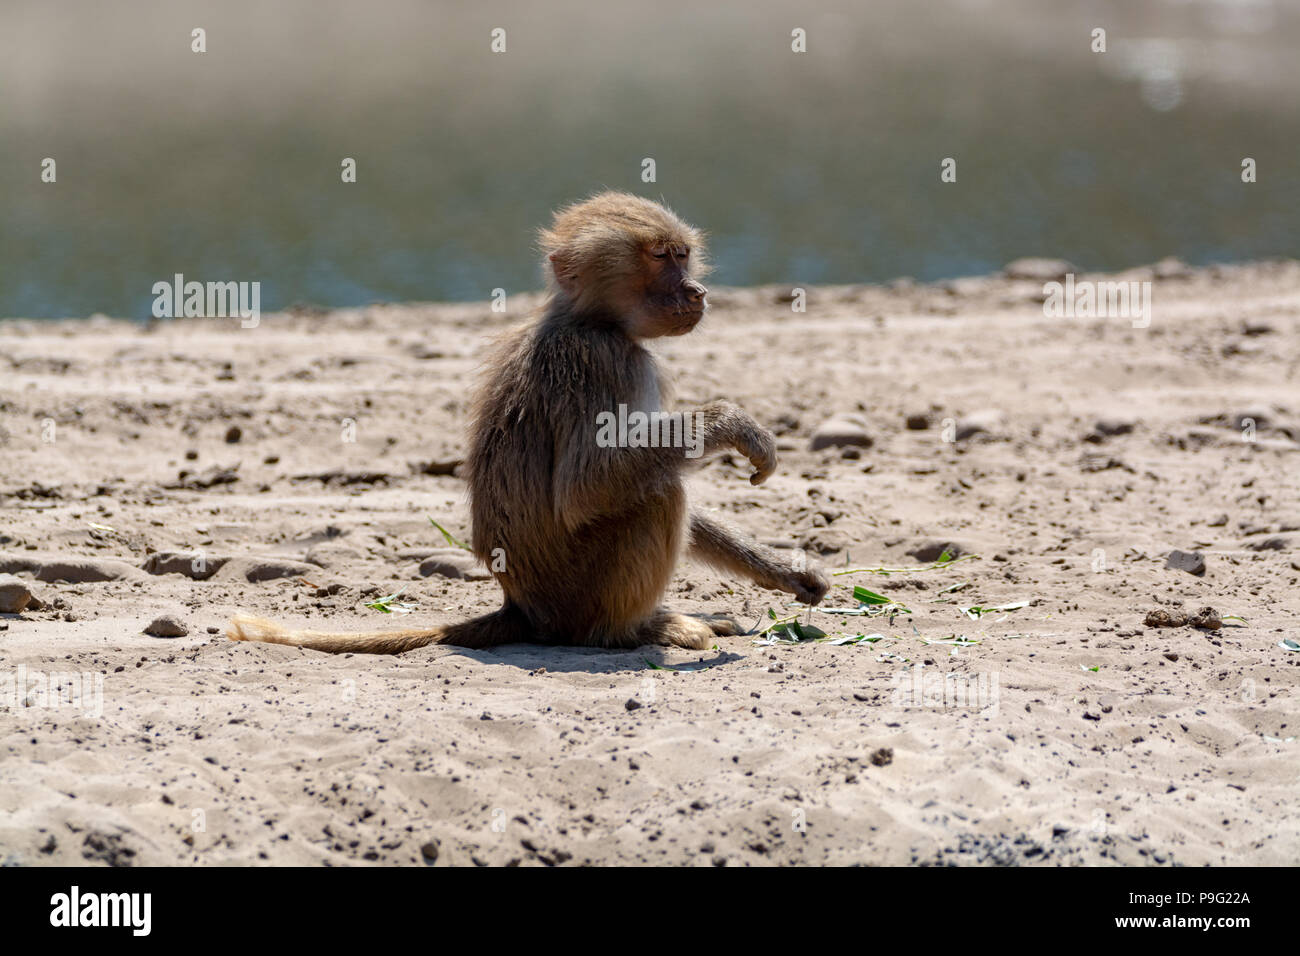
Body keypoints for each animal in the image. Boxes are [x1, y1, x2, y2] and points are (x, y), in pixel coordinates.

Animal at [228, 191, 829, 654]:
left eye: (684, 256)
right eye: (662, 257)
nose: (697, 291)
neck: (589, 319)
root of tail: (522, 607)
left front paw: (785, 570)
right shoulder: (608, 361)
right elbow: (587, 487)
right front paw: (733, 424)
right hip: (579, 598)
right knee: (660, 495)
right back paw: (635, 630)